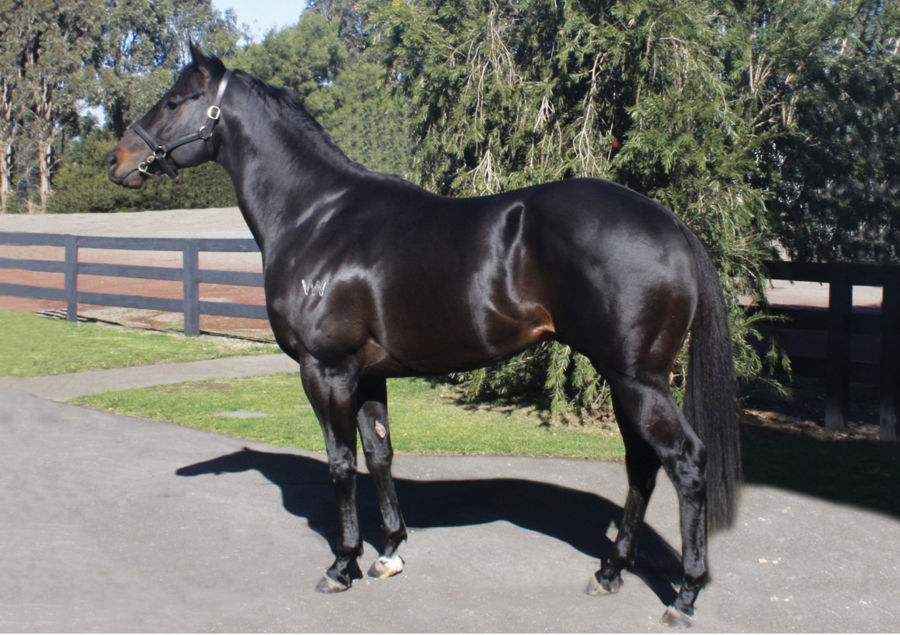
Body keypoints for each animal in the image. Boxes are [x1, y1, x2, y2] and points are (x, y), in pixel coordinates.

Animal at [108, 42, 741, 627]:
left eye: (177, 100)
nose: (118, 159)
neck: (317, 216)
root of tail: (670, 222)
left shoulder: (325, 370)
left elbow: (342, 463)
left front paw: (343, 564)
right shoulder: (366, 375)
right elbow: (380, 453)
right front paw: (389, 552)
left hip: (639, 381)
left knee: (684, 462)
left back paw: (684, 596)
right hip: (623, 379)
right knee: (642, 465)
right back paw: (610, 572)